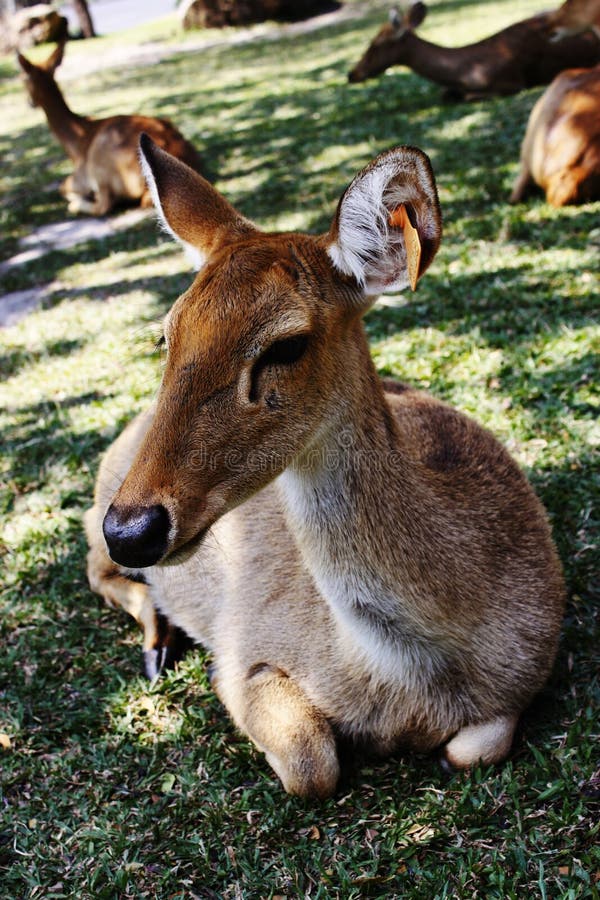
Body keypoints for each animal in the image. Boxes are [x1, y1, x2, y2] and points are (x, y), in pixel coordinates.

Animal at [16, 41, 202, 216]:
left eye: (23, 78)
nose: (29, 102)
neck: (76, 141)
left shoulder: (80, 177)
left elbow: (62, 188)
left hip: (100, 166)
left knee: (103, 206)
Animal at [84, 134, 566, 798]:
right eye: (166, 335)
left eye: (286, 343)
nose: (134, 527)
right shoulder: (244, 650)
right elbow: (312, 764)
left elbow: (475, 746)